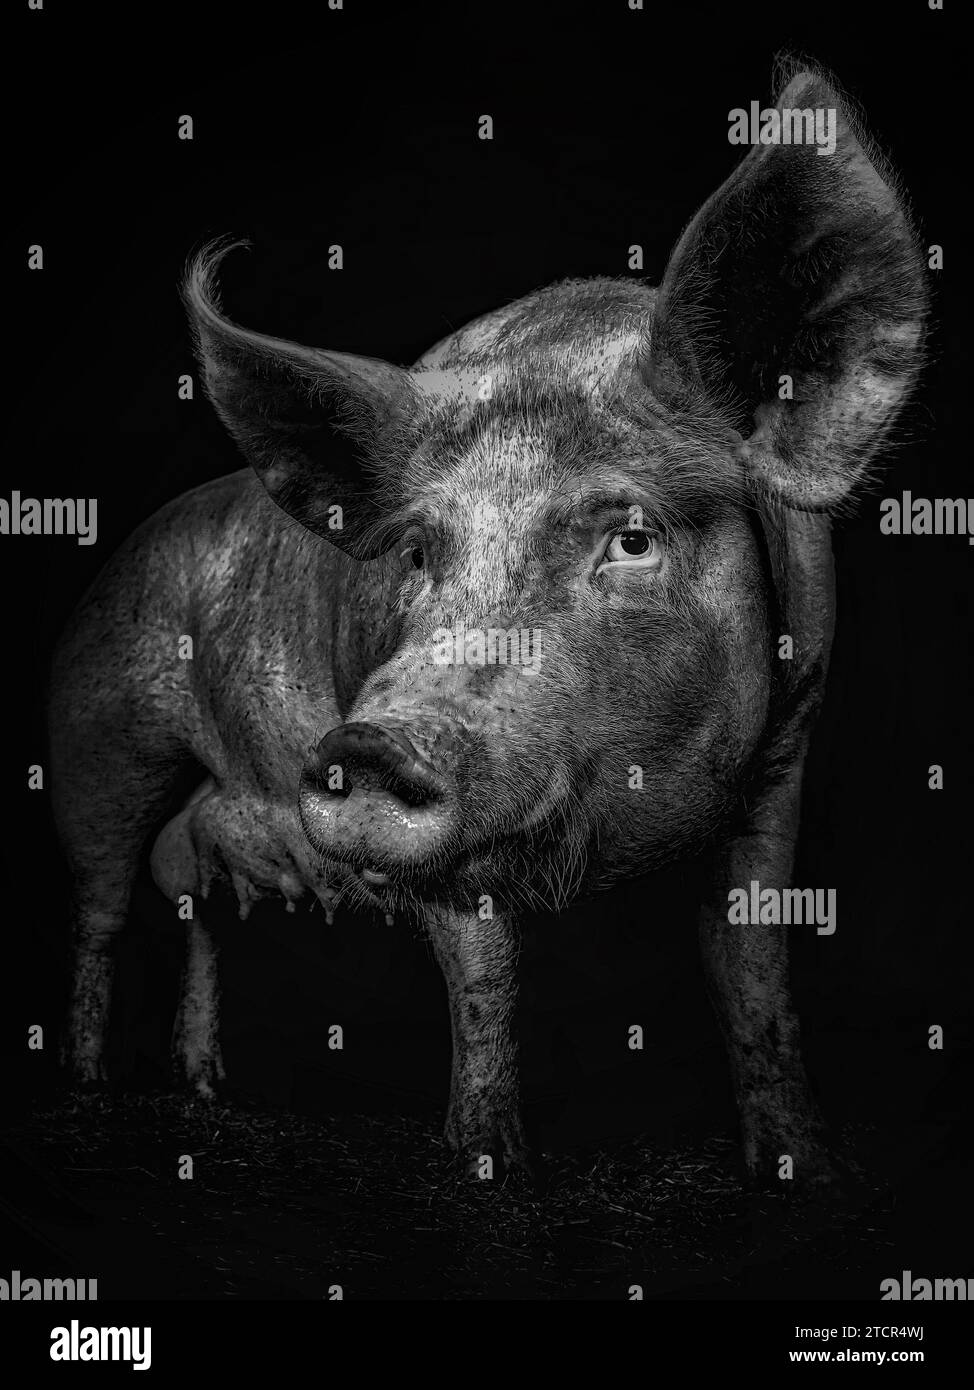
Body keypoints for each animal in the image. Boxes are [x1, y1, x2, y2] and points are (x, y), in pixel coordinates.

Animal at [50, 62, 927, 1188]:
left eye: (631, 538)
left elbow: (752, 967)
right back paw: (86, 1089)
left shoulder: (784, 750)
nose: (365, 743)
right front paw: (485, 1166)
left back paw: (203, 1091)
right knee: (105, 909)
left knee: (192, 896)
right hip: (100, 748)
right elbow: (484, 973)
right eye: (419, 554)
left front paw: (798, 1167)